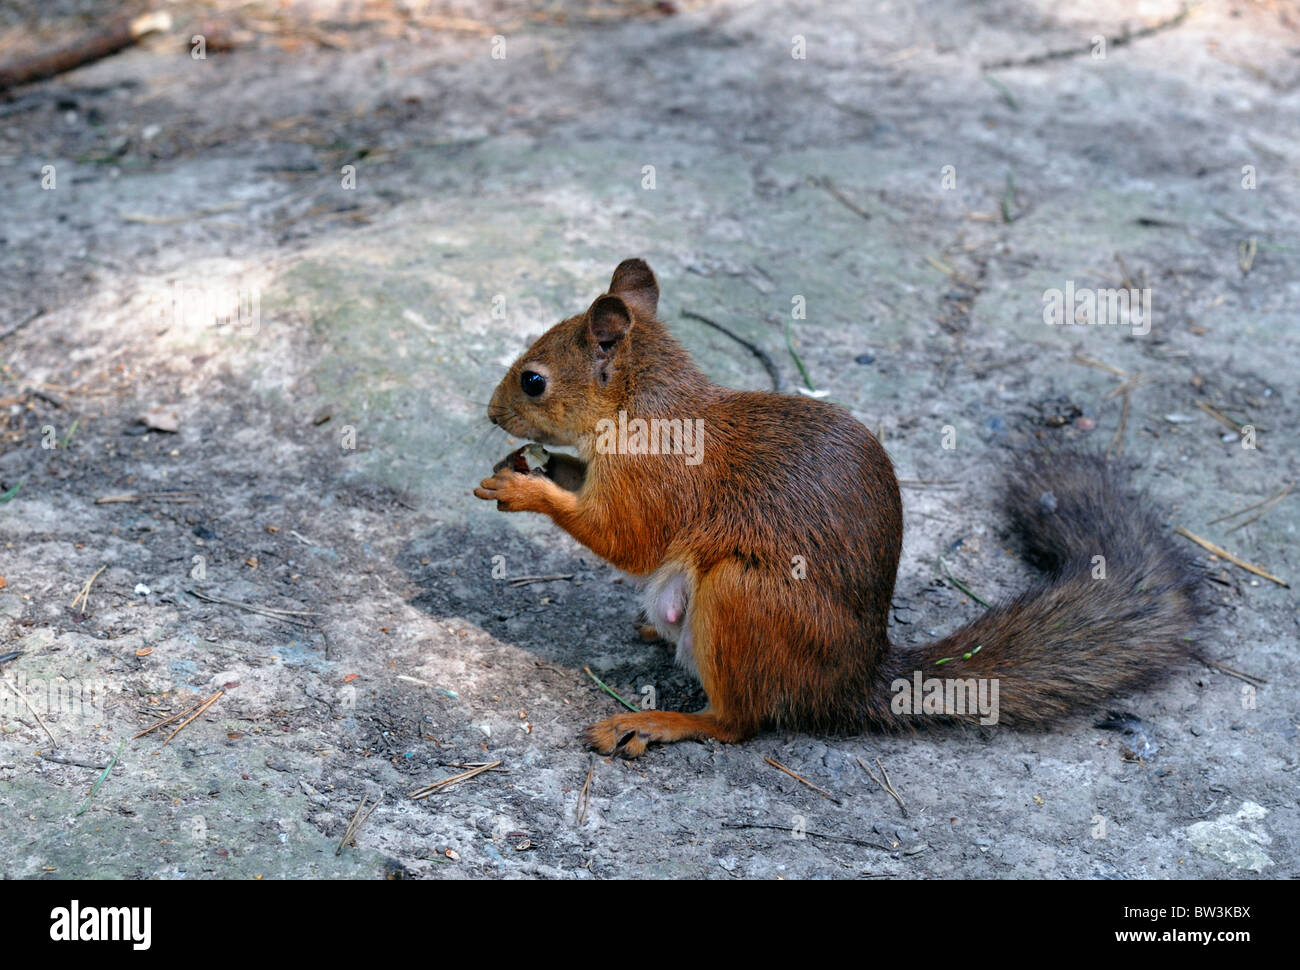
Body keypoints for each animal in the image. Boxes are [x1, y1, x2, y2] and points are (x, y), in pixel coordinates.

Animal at [474, 259, 1203, 758]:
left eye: (533, 381)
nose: (491, 413)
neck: (643, 405)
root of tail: (854, 683)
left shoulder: (658, 482)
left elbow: (624, 538)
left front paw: (524, 490)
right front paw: (534, 466)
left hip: (745, 597)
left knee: (738, 723)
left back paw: (660, 722)